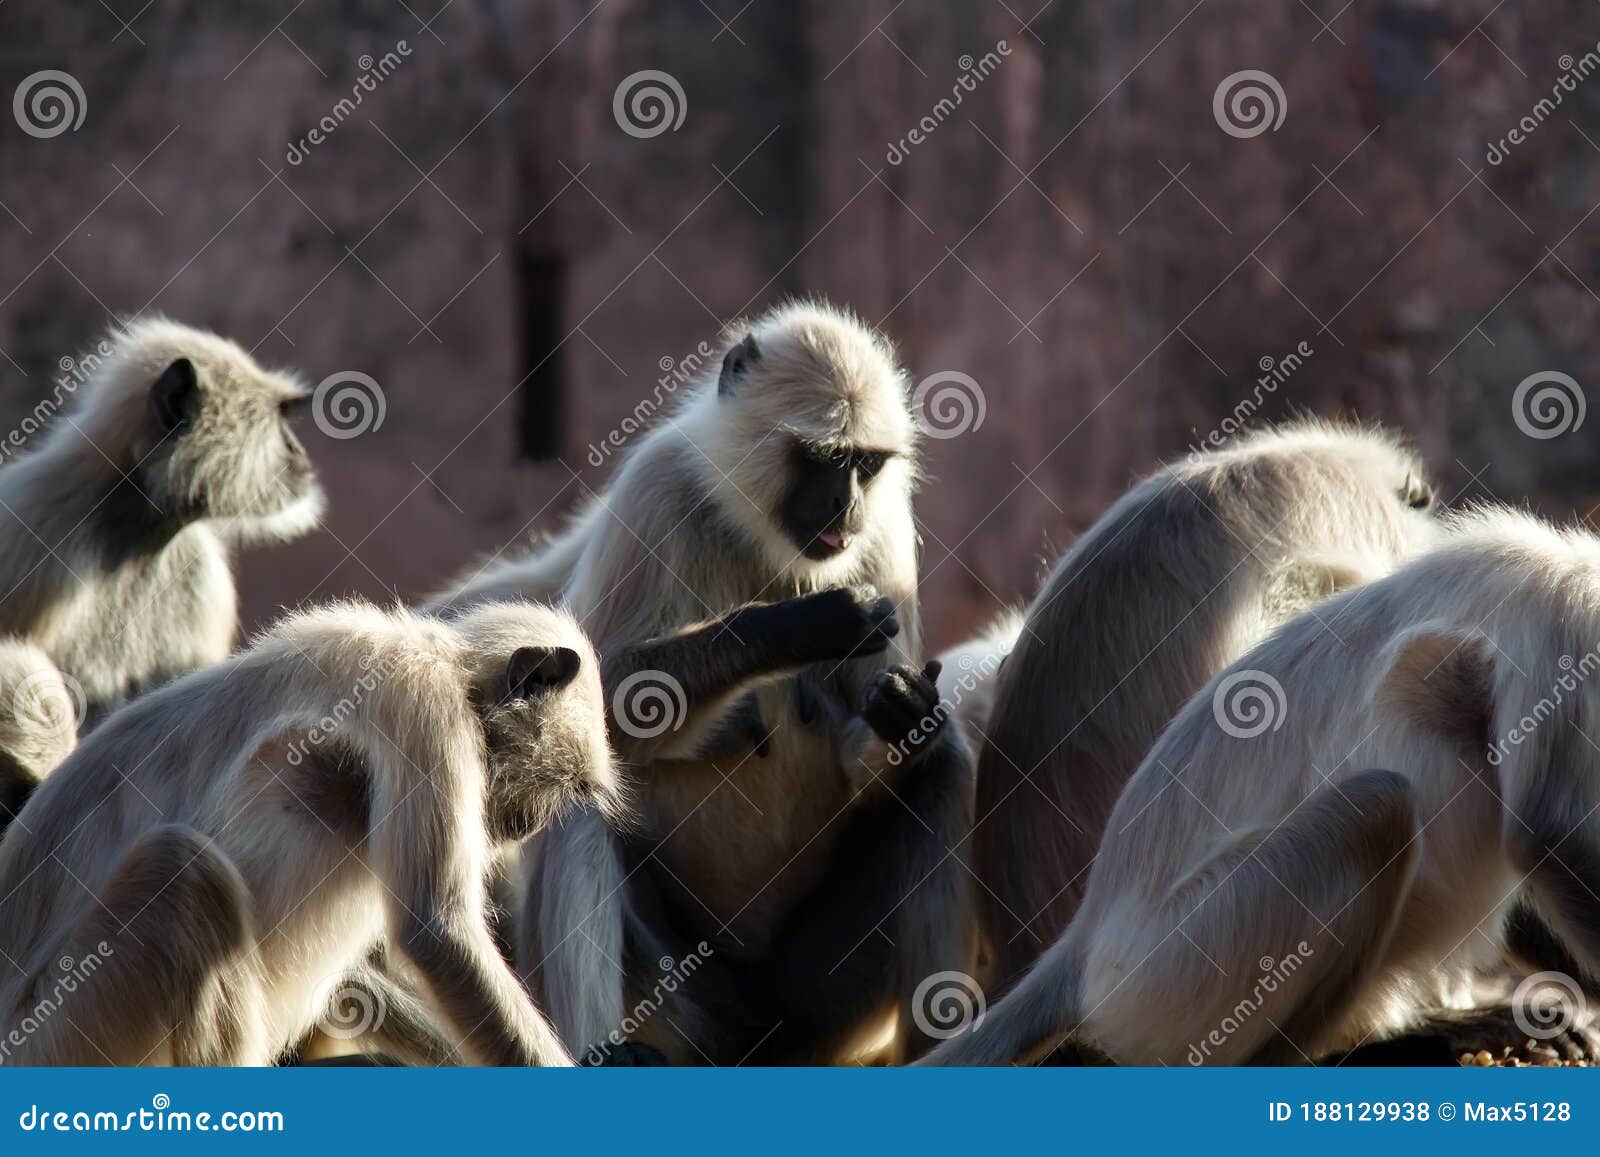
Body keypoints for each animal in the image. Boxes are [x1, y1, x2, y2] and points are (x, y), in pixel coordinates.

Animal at [438, 300, 976, 1065]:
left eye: (866, 465)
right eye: (821, 459)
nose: (843, 511)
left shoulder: (886, 532)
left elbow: (891, 731)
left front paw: (900, 710)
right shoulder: (655, 484)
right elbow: (600, 689)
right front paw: (806, 624)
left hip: (821, 1012)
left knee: (940, 762)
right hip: (683, 1003)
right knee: (577, 802)